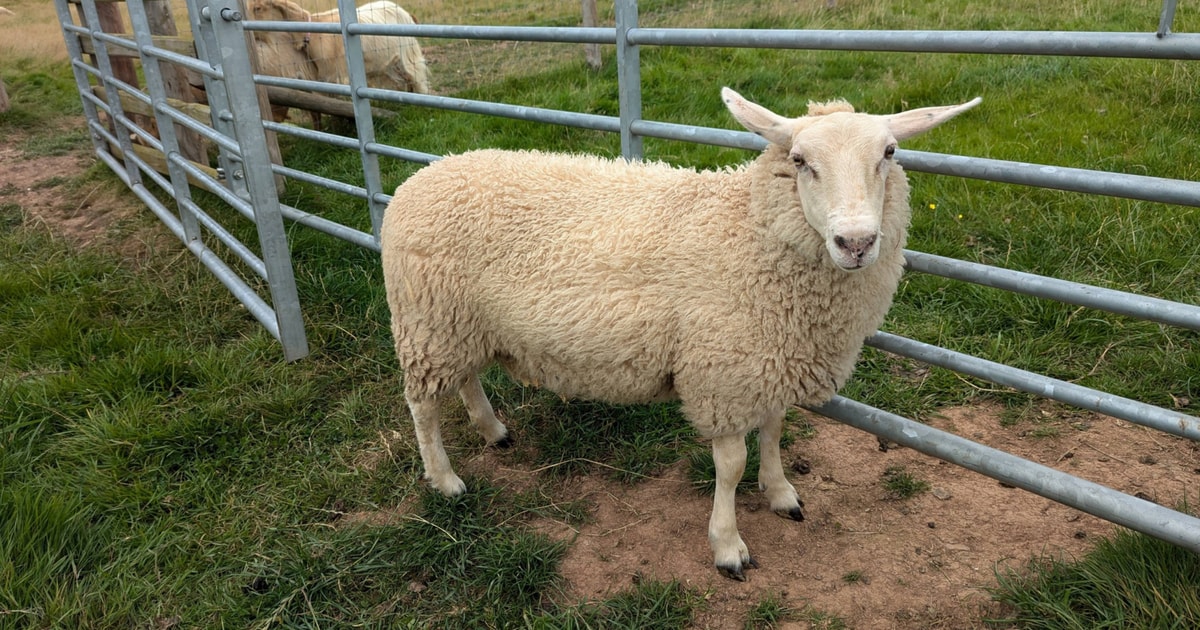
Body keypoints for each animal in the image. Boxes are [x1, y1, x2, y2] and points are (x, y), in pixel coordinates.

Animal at [380, 87, 980, 581]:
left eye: (889, 154)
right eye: (801, 161)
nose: (855, 242)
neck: (748, 232)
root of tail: (426, 175)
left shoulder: (770, 360)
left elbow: (775, 430)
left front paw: (781, 492)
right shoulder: (725, 372)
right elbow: (730, 466)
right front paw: (728, 545)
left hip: (461, 325)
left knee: (467, 379)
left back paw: (492, 430)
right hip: (427, 323)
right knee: (422, 405)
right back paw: (445, 480)